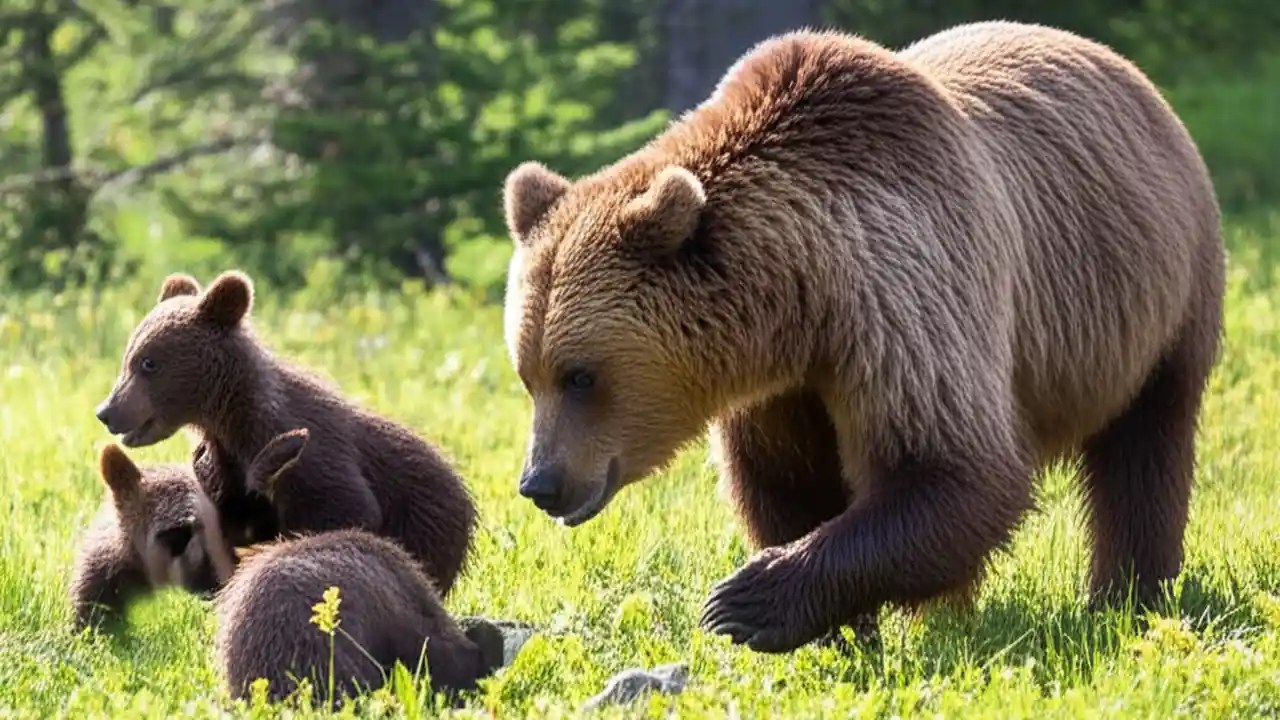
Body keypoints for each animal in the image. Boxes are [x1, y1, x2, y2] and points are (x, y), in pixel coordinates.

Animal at [93, 270, 477, 596]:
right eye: (127, 358)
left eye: (148, 363)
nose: (106, 411)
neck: (231, 418)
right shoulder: (220, 464)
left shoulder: (306, 451)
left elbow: (345, 509)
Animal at [498, 21, 1224, 653]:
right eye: (527, 375)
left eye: (581, 375)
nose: (541, 482)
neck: (804, 298)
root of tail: (1126, 69)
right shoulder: (780, 386)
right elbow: (785, 480)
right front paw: (838, 629)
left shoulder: (907, 295)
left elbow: (951, 470)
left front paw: (744, 602)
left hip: (1155, 294)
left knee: (1144, 450)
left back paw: (1125, 596)